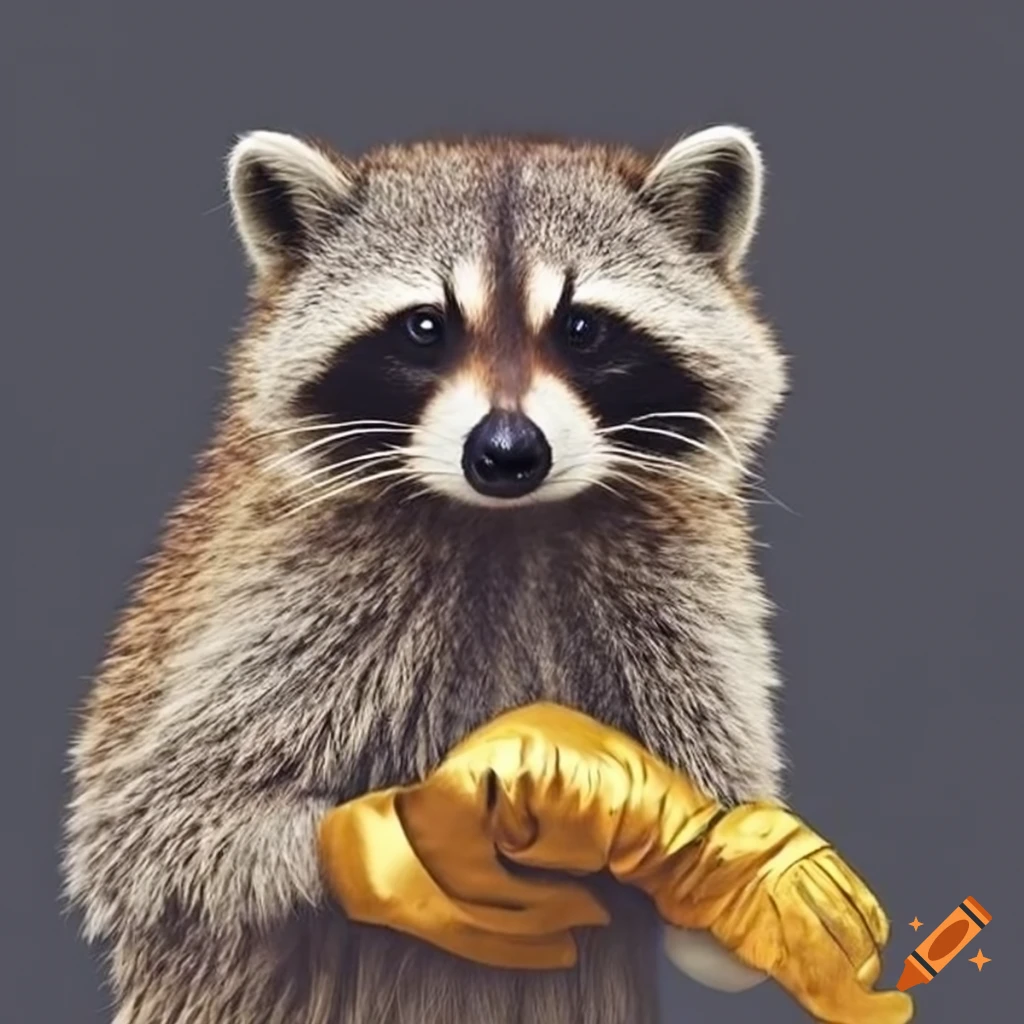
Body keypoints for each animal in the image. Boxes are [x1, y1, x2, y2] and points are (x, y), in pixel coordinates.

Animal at [63, 124, 788, 1024]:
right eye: (423, 327)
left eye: (583, 328)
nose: (508, 453)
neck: (510, 522)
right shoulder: (290, 588)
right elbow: (151, 832)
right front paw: (417, 832)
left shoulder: (683, 585)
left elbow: (718, 932)